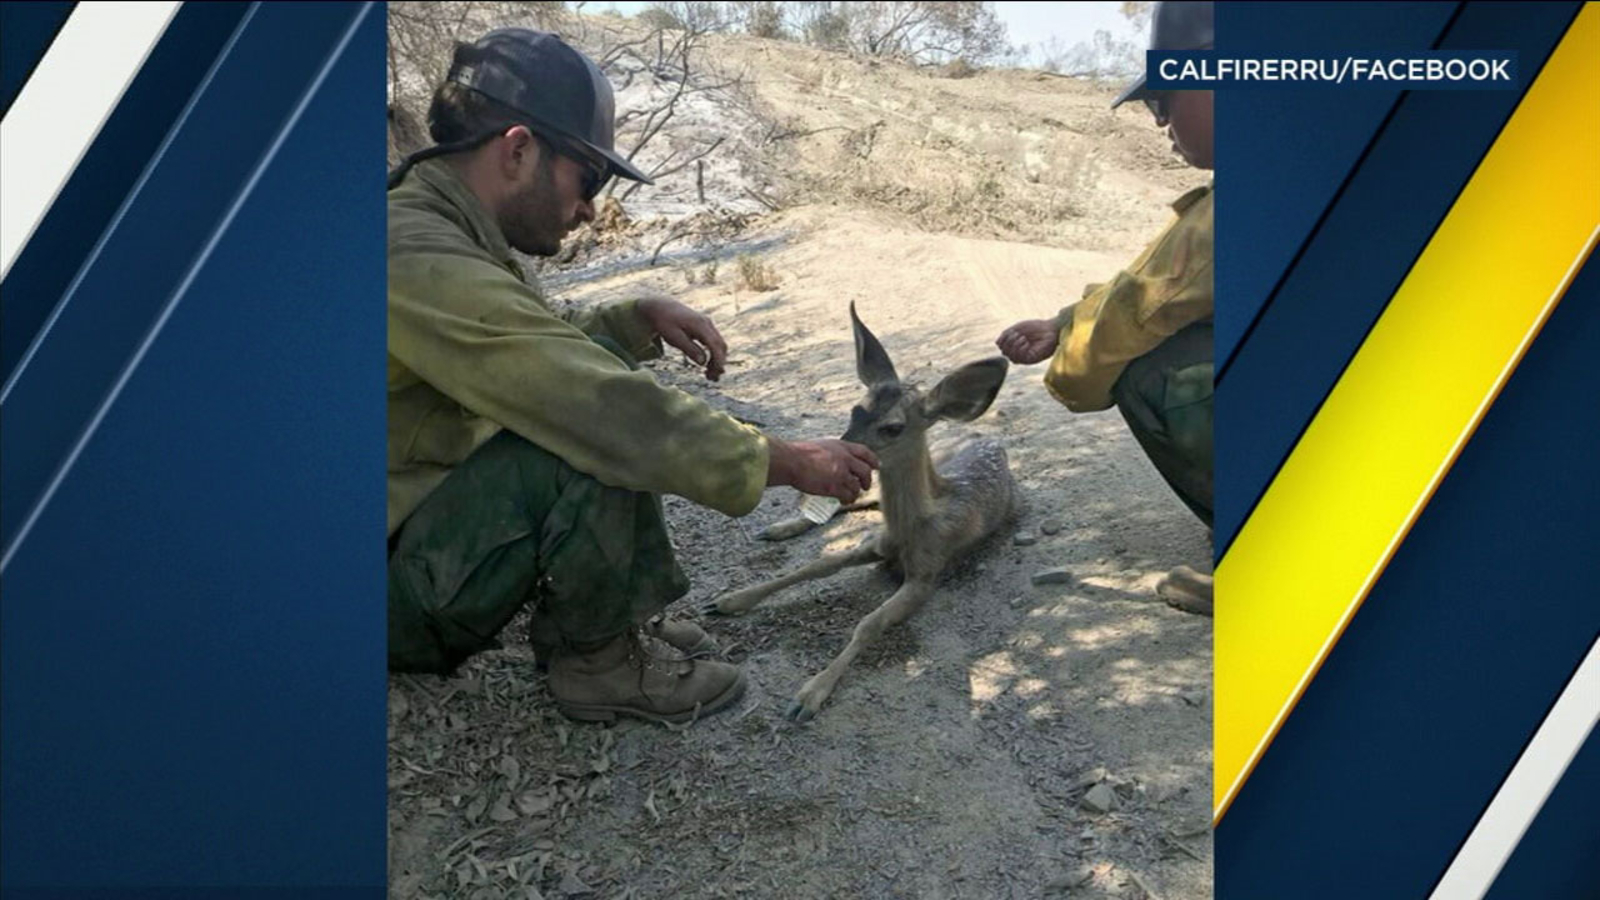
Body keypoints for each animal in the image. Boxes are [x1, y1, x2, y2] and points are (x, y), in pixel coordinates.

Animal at [704, 303, 1016, 722]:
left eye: (893, 427)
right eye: (855, 409)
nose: (842, 449)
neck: (909, 531)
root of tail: (990, 438)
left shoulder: (928, 573)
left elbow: (869, 623)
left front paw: (809, 695)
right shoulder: (875, 543)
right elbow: (815, 566)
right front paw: (729, 600)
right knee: (851, 503)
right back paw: (780, 527)